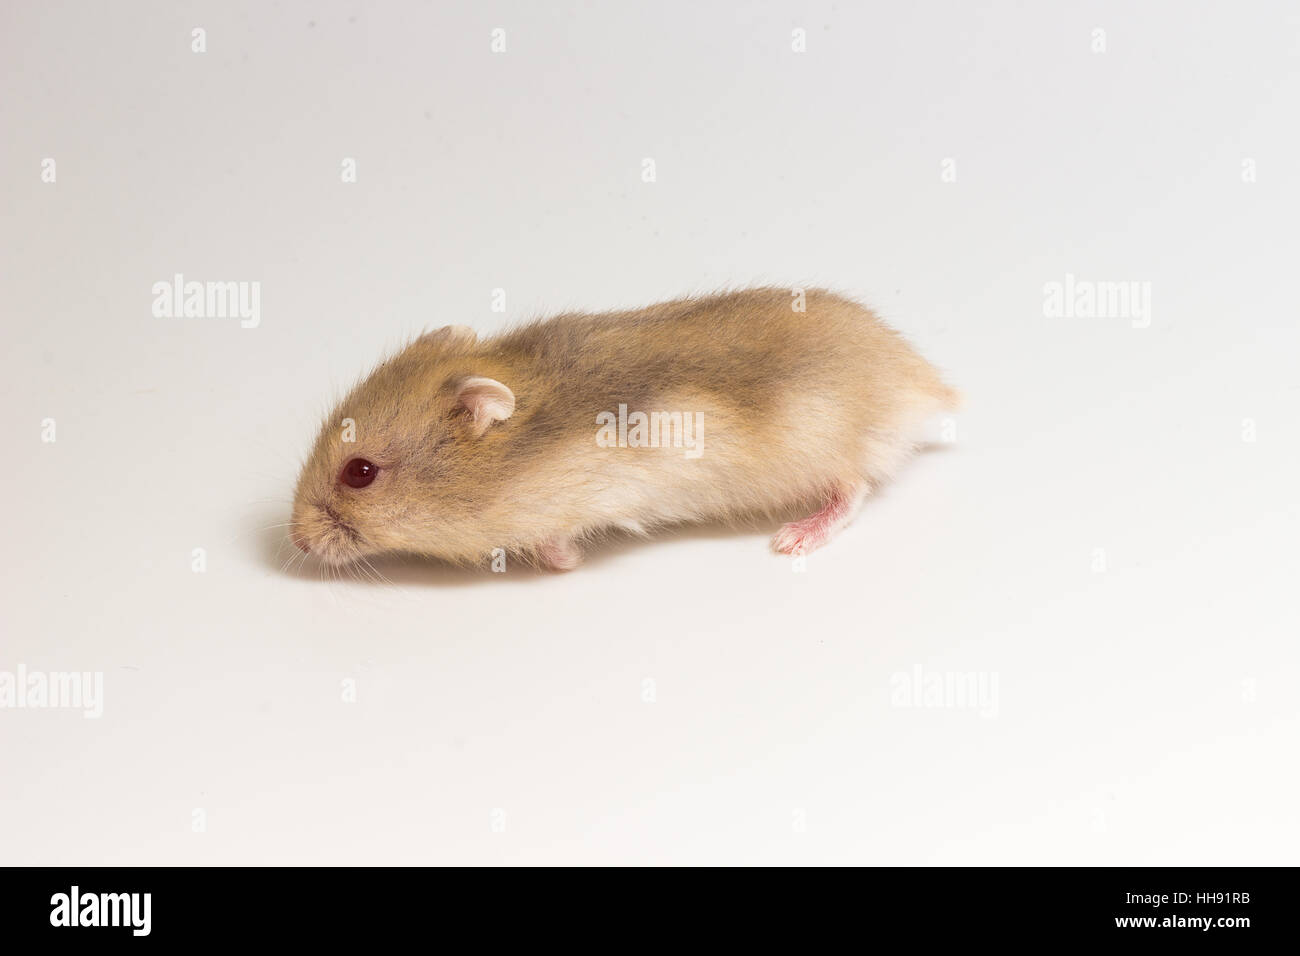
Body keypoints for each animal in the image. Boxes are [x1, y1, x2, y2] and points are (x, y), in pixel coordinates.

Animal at [290, 287, 958, 571]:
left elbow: (556, 548)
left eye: (360, 472)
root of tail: (923, 383)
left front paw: (568, 560)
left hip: (821, 448)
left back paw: (792, 540)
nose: (295, 543)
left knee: (852, 492)